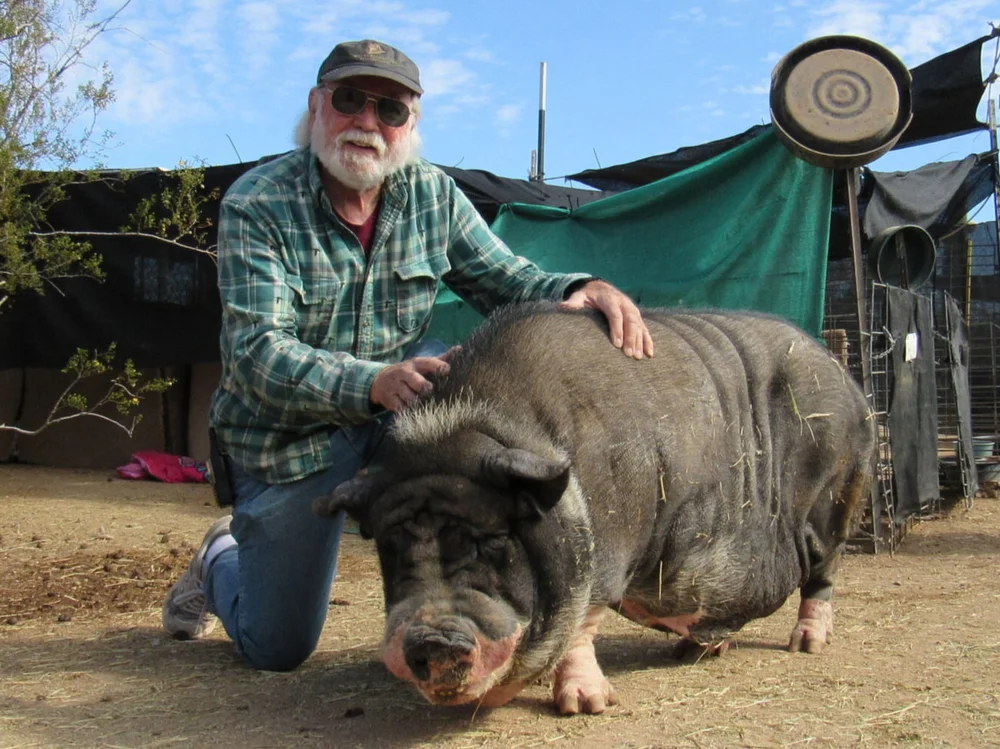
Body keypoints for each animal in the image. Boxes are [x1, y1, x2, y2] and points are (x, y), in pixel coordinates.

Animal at [314, 302, 876, 714]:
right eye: (390, 547)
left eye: (493, 540)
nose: (433, 638)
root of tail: (845, 375)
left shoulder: (609, 546)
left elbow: (583, 622)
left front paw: (587, 706)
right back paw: (695, 650)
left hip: (838, 494)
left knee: (823, 570)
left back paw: (807, 644)